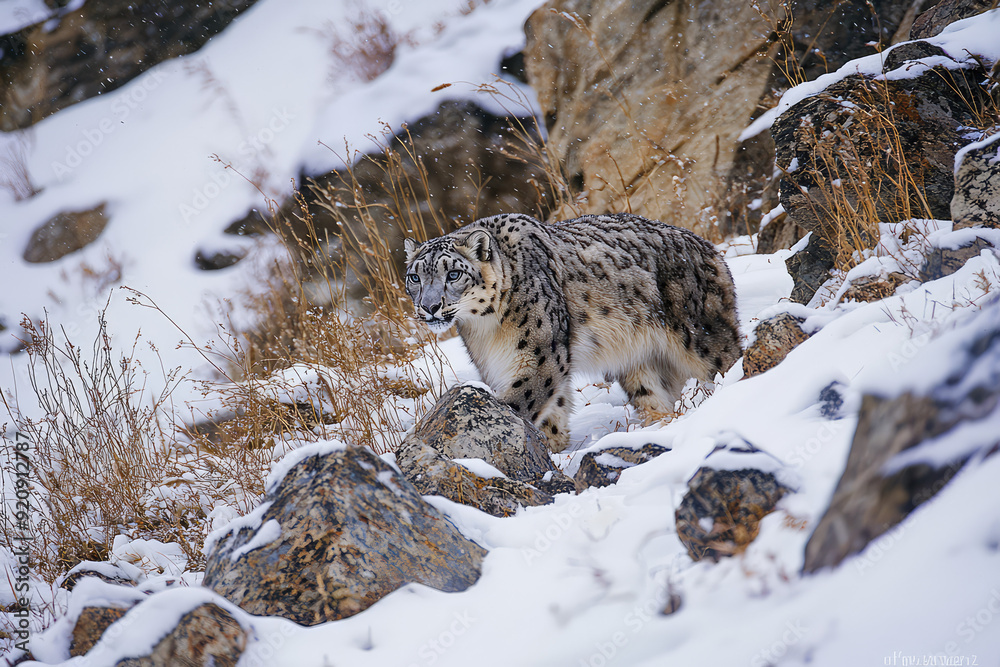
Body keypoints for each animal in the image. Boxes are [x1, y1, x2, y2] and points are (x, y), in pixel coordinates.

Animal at [403, 212, 741, 451]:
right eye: (414, 277)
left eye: (453, 274)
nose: (429, 306)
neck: (487, 329)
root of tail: (712, 250)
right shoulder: (497, 364)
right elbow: (553, 410)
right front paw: (553, 447)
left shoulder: (539, 353)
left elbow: (521, 401)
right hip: (640, 362)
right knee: (655, 395)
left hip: (703, 336)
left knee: (726, 362)